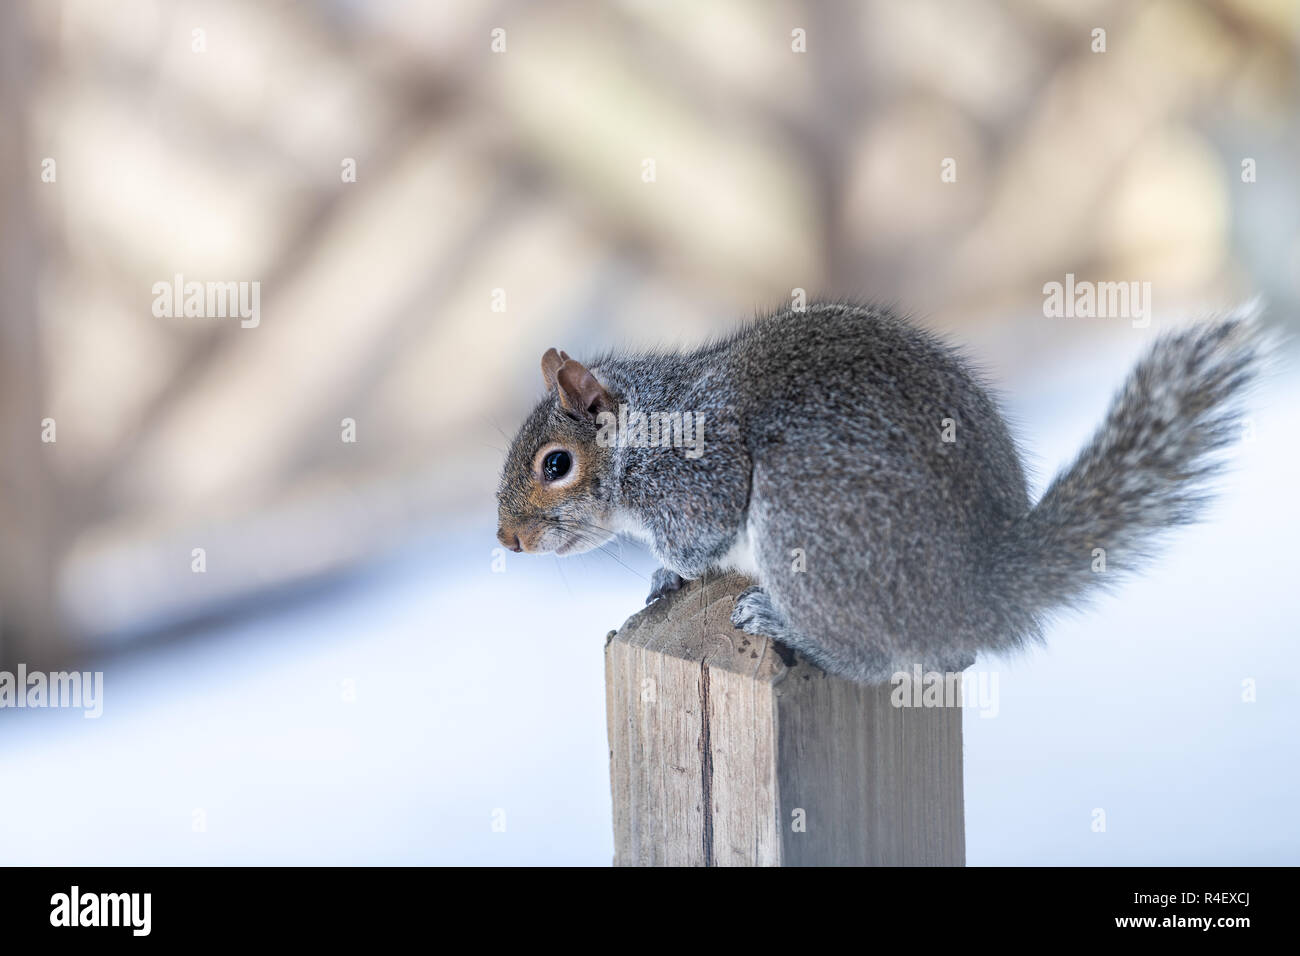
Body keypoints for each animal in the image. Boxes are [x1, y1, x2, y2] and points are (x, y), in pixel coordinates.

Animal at [496, 301, 1263, 683]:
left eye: (556, 464)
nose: (508, 539)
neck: (647, 425)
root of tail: (980, 593)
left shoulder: (699, 473)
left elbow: (699, 537)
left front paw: (668, 569)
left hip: (809, 521)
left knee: (870, 660)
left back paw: (783, 624)